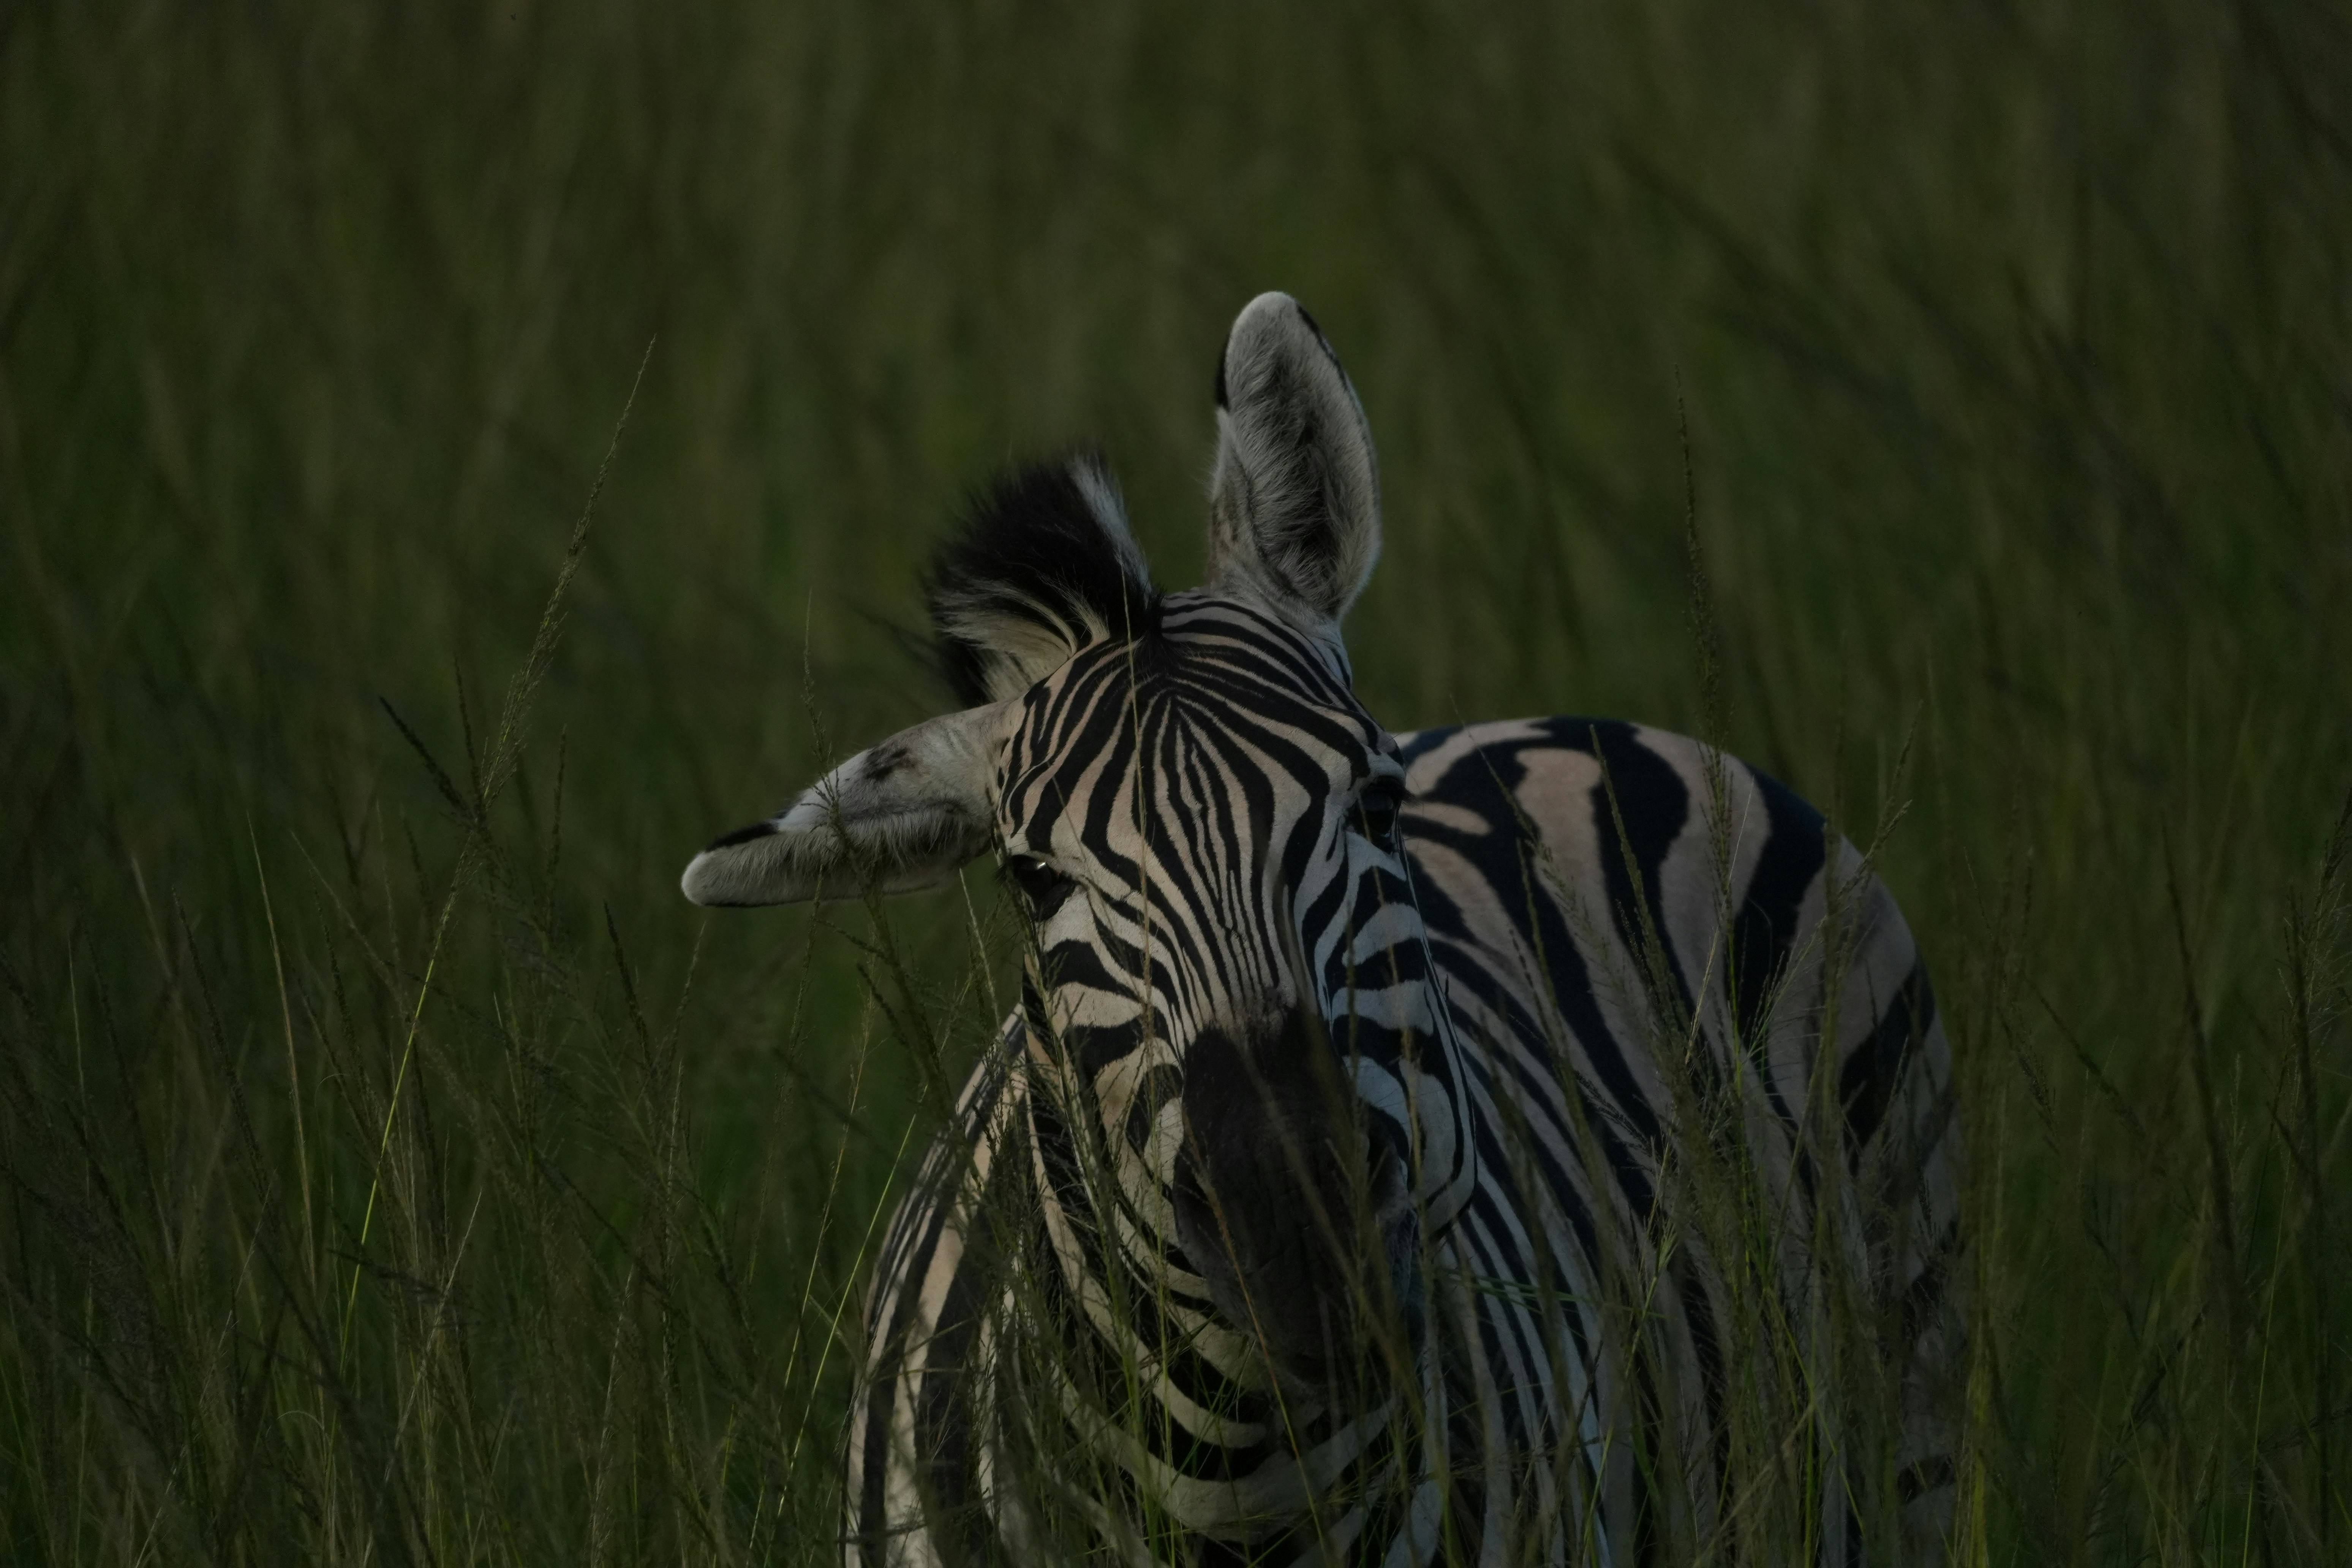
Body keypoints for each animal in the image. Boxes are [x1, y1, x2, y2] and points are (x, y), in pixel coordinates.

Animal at [682, 293, 1960, 1565]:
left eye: (1376, 806)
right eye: (1036, 879)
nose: (1296, 1231)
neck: (1229, 1486)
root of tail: (1573, 725)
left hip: (1910, 1404)